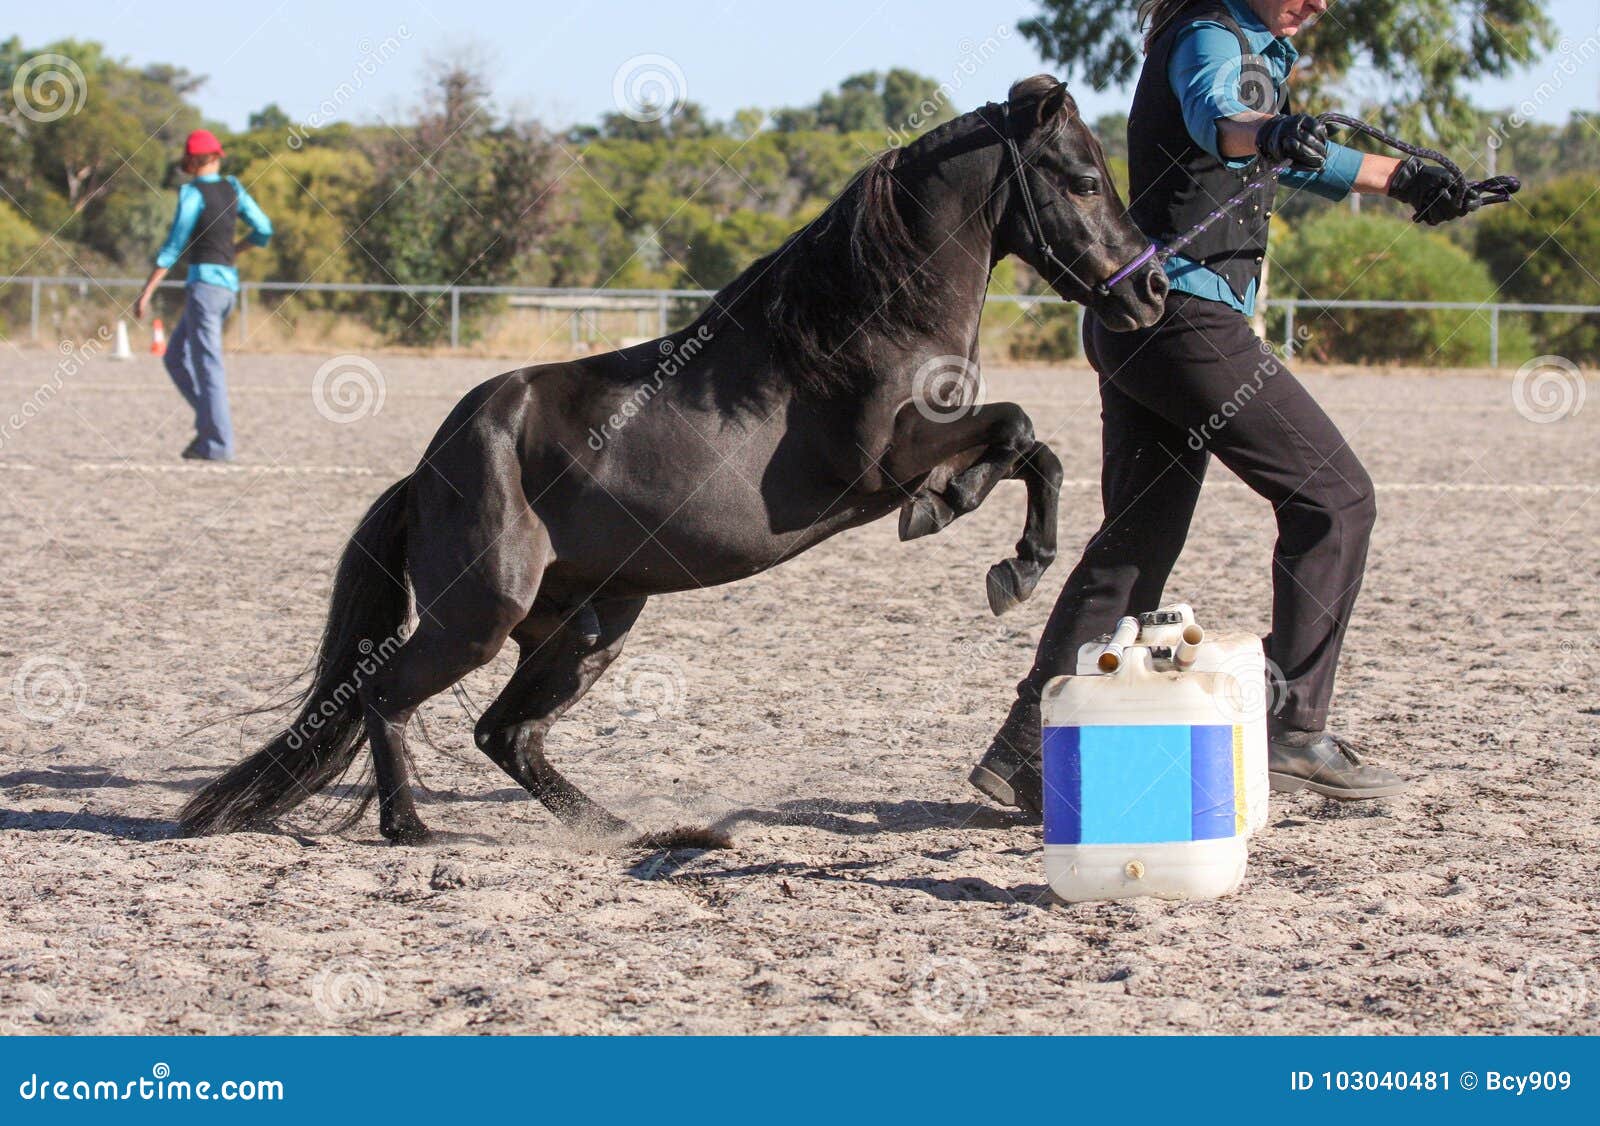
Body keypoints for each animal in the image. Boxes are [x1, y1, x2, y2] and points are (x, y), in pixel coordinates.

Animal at [179, 75, 1168, 845]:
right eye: (1084, 179)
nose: (1153, 290)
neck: (869, 319)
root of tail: (428, 471)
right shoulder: (885, 462)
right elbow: (1018, 431)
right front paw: (1005, 556)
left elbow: (1032, 450)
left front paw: (992, 537)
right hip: (479, 617)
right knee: (388, 697)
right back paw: (412, 829)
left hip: (590, 627)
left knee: (506, 735)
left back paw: (622, 832)